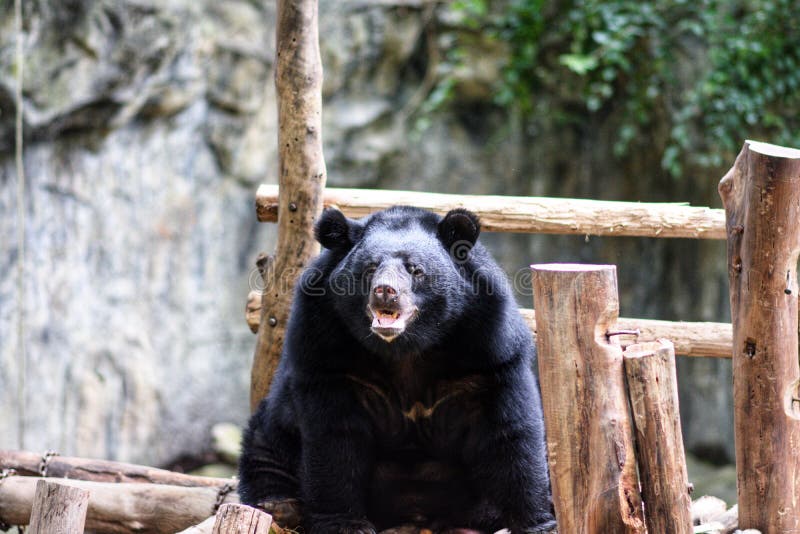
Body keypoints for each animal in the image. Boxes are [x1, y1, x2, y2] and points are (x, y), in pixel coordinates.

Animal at [238, 206, 556, 534]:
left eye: (415, 269)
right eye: (369, 269)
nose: (385, 291)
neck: (405, 348)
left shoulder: (491, 348)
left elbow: (511, 431)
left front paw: (534, 523)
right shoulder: (322, 349)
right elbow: (334, 435)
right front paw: (345, 523)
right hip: (275, 424)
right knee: (265, 447)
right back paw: (281, 506)